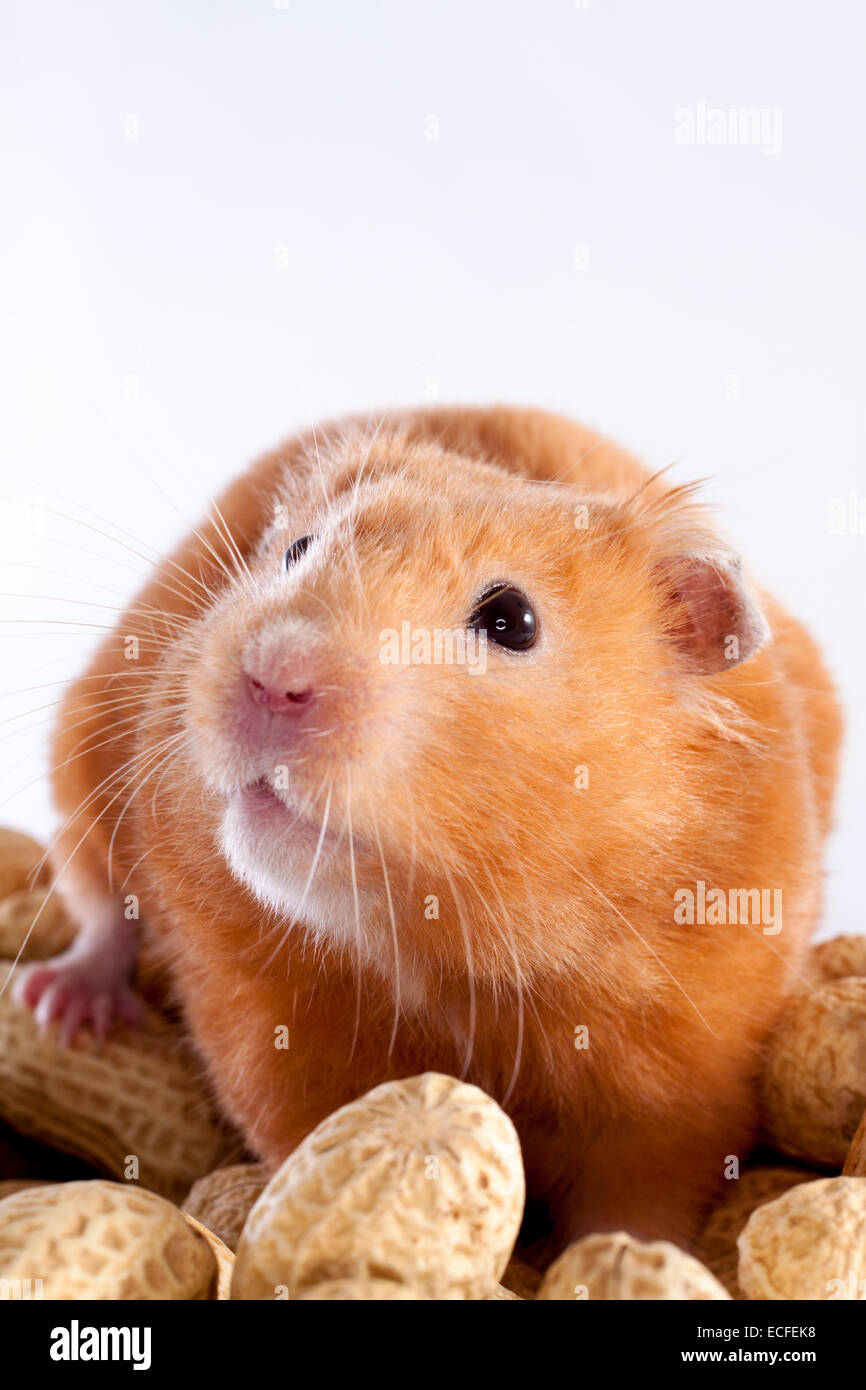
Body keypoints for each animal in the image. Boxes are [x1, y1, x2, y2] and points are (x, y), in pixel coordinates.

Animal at [16, 405, 842, 1250]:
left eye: (512, 620)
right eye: (297, 550)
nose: (273, 676)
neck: (444, 948)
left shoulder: (677, 1092)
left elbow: (638, 1211)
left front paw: (624, 1259)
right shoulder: (262, 1033)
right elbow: (304, 1140)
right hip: (86, 741)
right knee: (99, 905)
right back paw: (65, 1010)